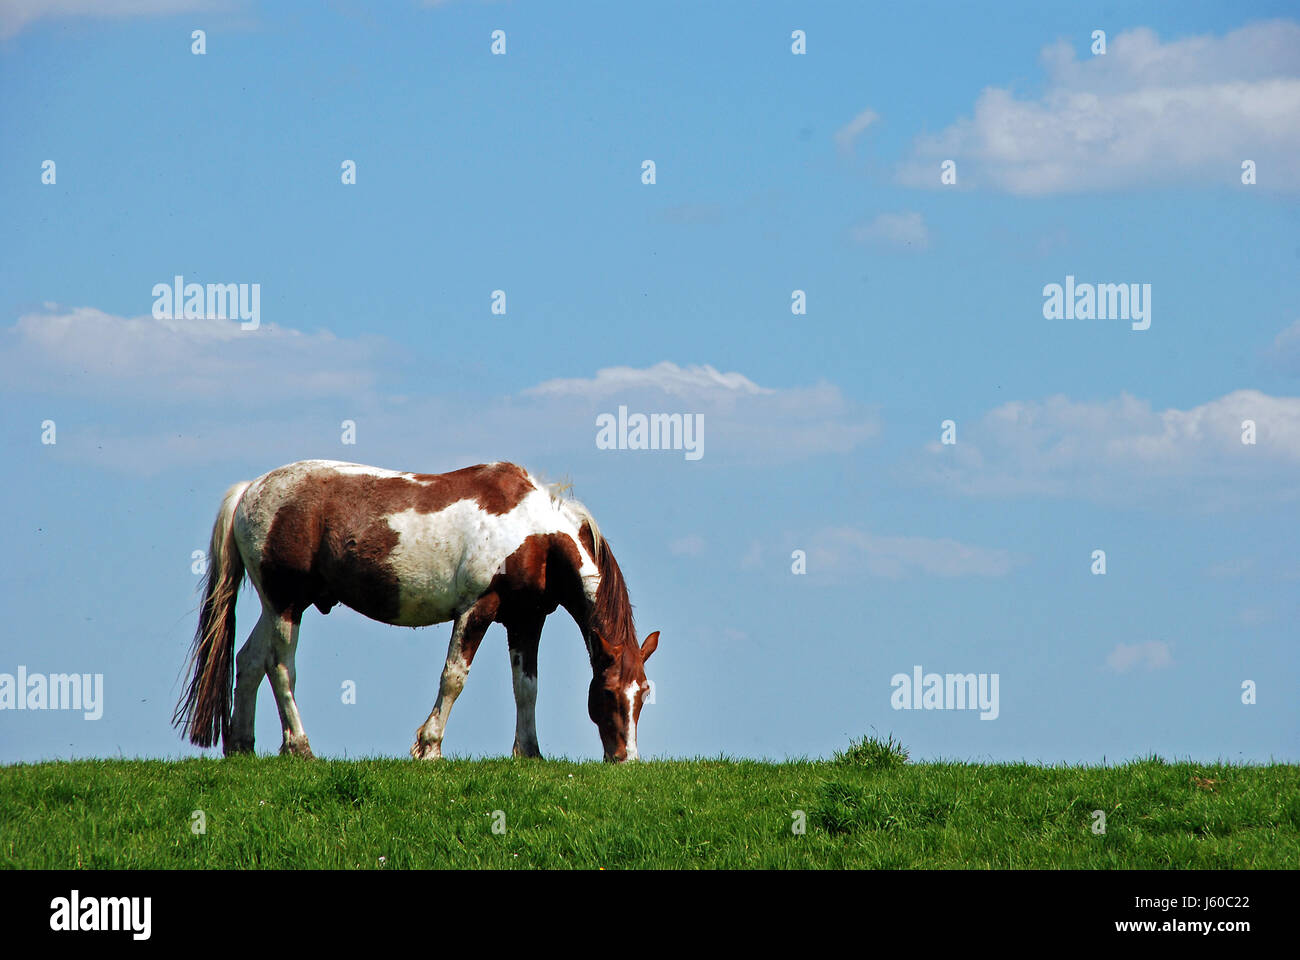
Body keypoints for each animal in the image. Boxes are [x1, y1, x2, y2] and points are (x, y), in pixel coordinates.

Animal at [173, 459, 659, 762]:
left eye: (643, 695)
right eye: (608, 692)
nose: (627, 759)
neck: (537, 535)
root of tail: (250, 490)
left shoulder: (526, 619)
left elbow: (526, 687)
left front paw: (529, 752)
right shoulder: (477, 609)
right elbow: (453, 678)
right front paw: (429, 747)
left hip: (278, 605)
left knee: (249, 662)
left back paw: (242, 743)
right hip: (287, 606)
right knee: (280, 668)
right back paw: (299, 746)